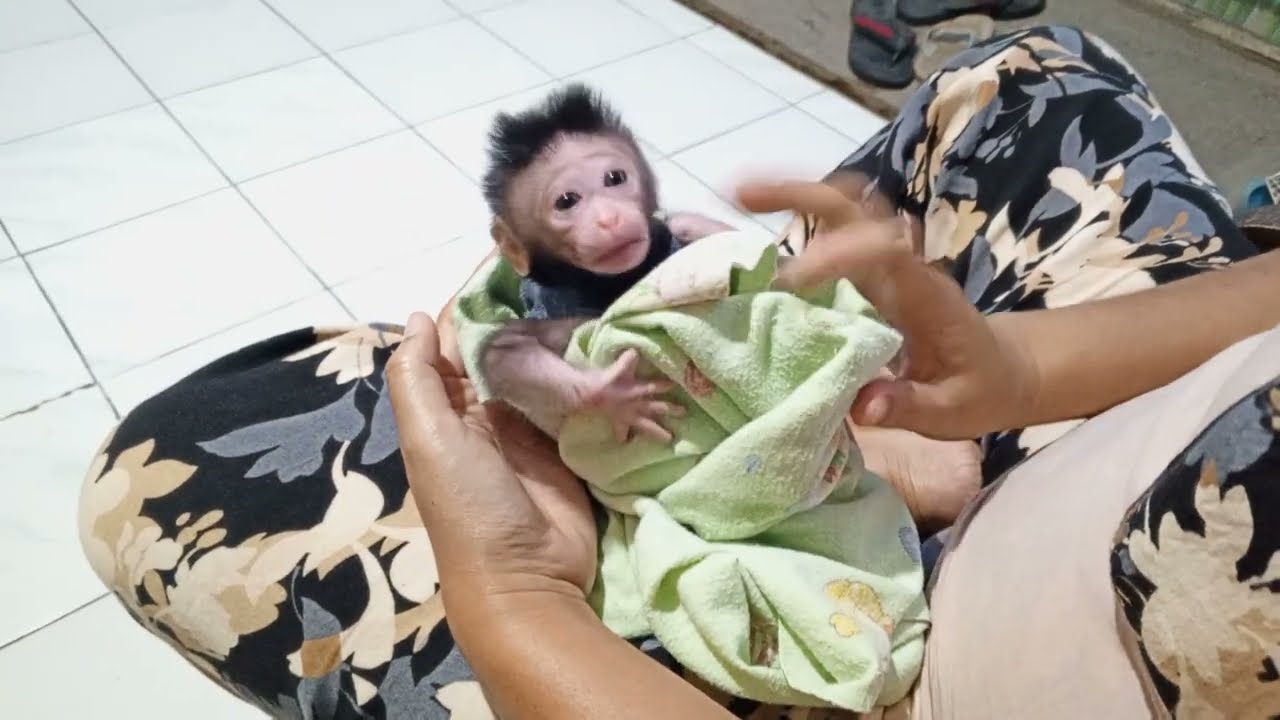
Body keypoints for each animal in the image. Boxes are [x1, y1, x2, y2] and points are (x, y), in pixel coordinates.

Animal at [473, 83, 736, 444]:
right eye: (567, 201)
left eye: (614, 177)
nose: (608, 218)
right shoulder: (561, 315)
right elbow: (504, 353)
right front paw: (616, 398)